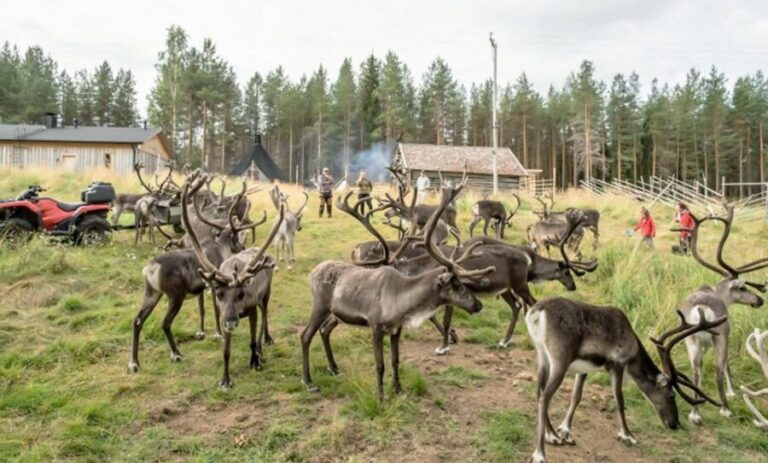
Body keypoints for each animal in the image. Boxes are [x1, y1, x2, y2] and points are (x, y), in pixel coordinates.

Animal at [128, 171, 264, 373]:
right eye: (236, 237)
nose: (242, 247)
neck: (220, 248)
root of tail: (151, 268)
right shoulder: (215, 285)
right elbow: (215, 310)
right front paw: (218, 333)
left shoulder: (201, 287)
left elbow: (201, 309)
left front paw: (202, 332)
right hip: (175, 295)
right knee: (165, 323)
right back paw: (176, 354)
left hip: (152, 292)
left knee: (137, 320)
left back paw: (134, 362)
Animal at [181, 174, 284, 390]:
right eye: (220, 294)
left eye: (241, 294)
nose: (230, 322)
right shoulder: (223, 312)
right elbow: (225, 352)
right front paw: (225, 380)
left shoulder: (251, 308)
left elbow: (252, 340)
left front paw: (255, 361)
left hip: (266, 294)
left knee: (265, 316)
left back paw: (265, 342)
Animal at [300, 179, 495, 401]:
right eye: (455, 284)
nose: (478, 304)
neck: (401, 300)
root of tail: (313, 272)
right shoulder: (376, 327)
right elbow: (380, 365)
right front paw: (381, 397)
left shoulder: (396, 330)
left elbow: (395, 360)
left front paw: (398, 389)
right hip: (319, 307)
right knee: (306, 336)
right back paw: (309, 382)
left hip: (335, 314)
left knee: (324, 331)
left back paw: (334, 368)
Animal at [526, 298, 726, 463]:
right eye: (671, 395)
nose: (675, 424)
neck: (634, 348)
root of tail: (537, 311)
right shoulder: (618, 364)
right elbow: (619, 401)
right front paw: (627, 435)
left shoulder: (584, 368)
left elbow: (576, 397)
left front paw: (565, 432)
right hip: (560, 359)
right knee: (545, 397)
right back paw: (540, 453)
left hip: (542, 356)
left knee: (539, 393)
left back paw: (552, 435)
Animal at [672, 204, 767, 425]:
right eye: (742, 287)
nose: (760, 300)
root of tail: (702, 308)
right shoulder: (726, 333)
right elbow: (726, 366)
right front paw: (732, 393)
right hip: (719, 335)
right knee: (718, 369)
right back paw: (725, 409)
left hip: (690, 339)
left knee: (696, 369)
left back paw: (695, 414)